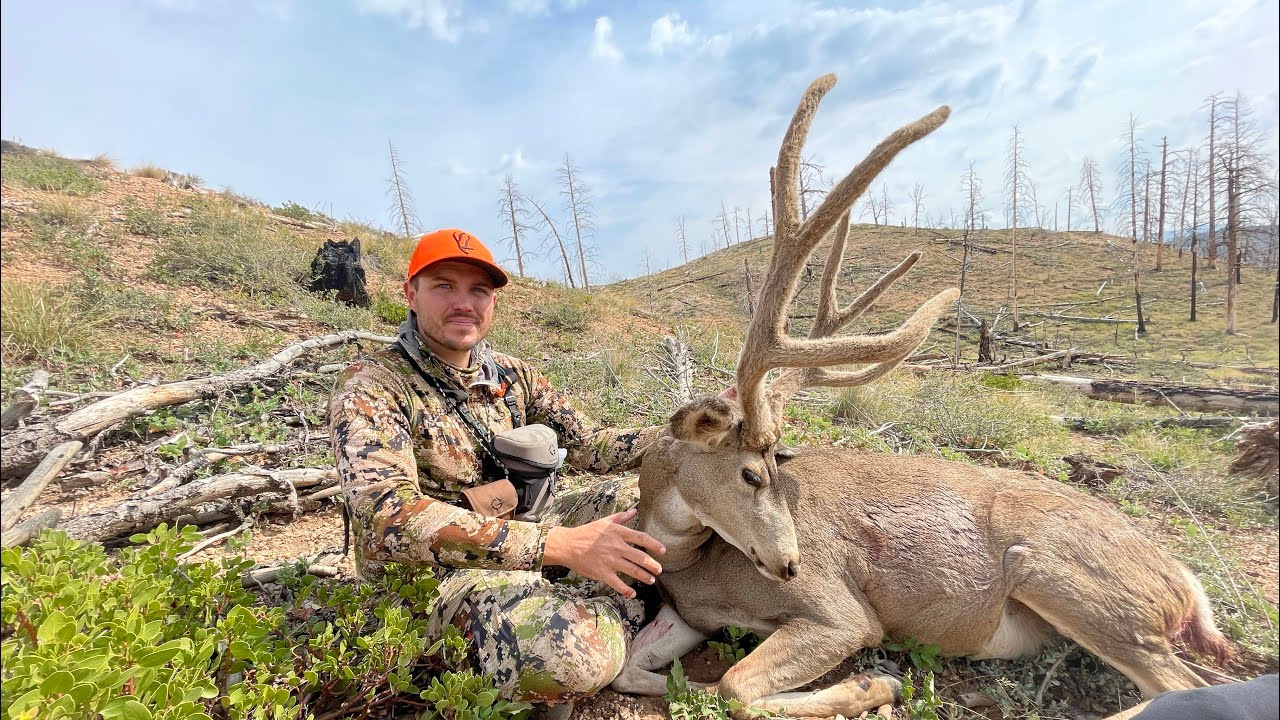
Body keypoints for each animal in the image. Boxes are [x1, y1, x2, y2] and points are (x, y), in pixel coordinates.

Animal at [610, 74, 1231, 719]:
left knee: (1180, 686)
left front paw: (874, 683)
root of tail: (1186, 585)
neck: (693, 564)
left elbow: (735, 686)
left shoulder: (842, 612)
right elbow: (633, 669)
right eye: (752, 474)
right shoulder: (691, 616)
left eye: (772, 469)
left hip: (1066, 578)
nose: (789, 562)